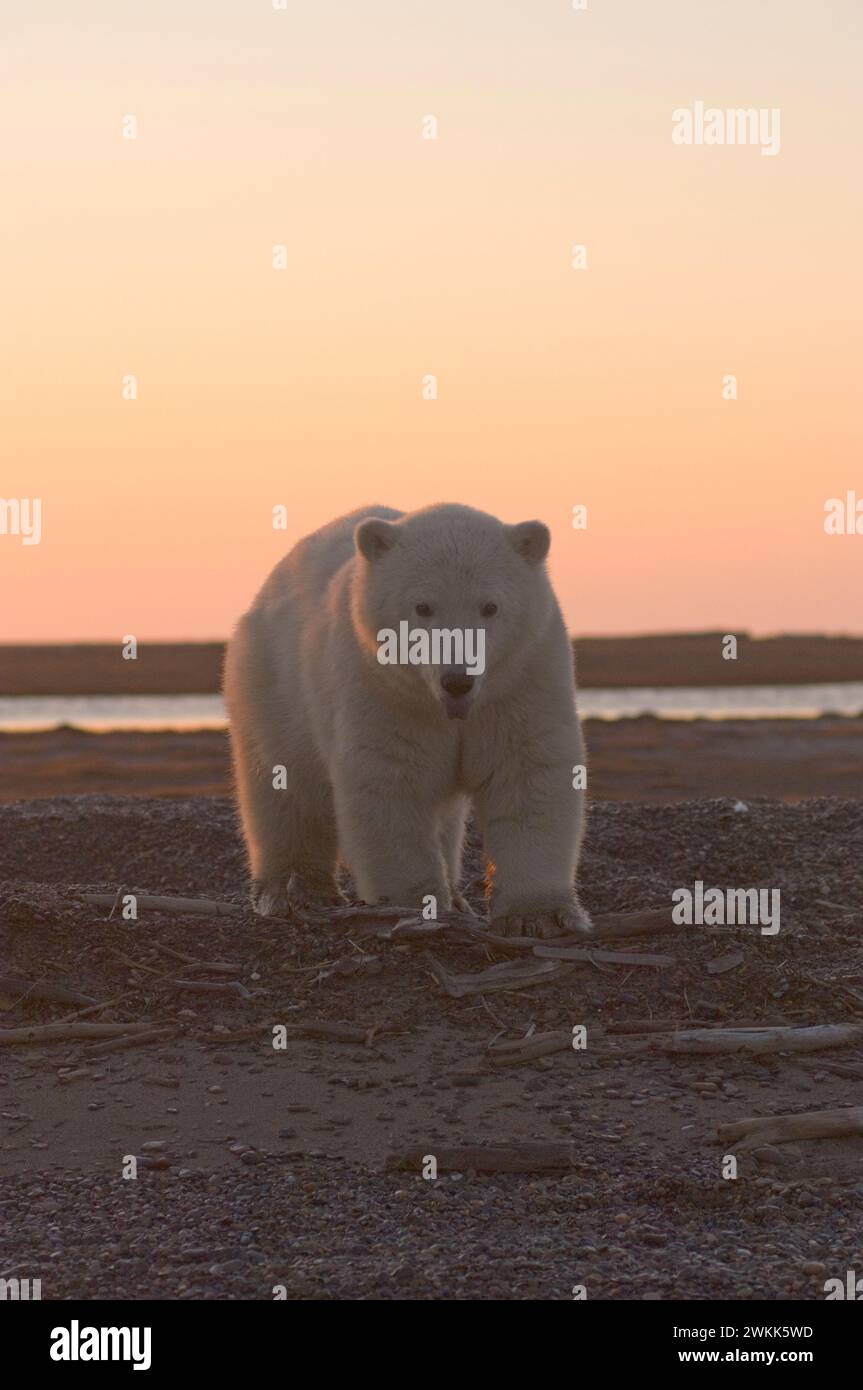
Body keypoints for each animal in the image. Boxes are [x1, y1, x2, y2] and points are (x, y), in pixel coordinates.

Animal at [223, 503, 592, 939]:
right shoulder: (381, 689)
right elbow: (392, 784)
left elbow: (526, 772)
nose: (457, 679)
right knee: (285, 787)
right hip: (273, 684)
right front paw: (415, 906)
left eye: (490, 606)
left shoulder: (523, 679)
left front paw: (538, 915)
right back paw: (294, 891)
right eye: (423, 606)